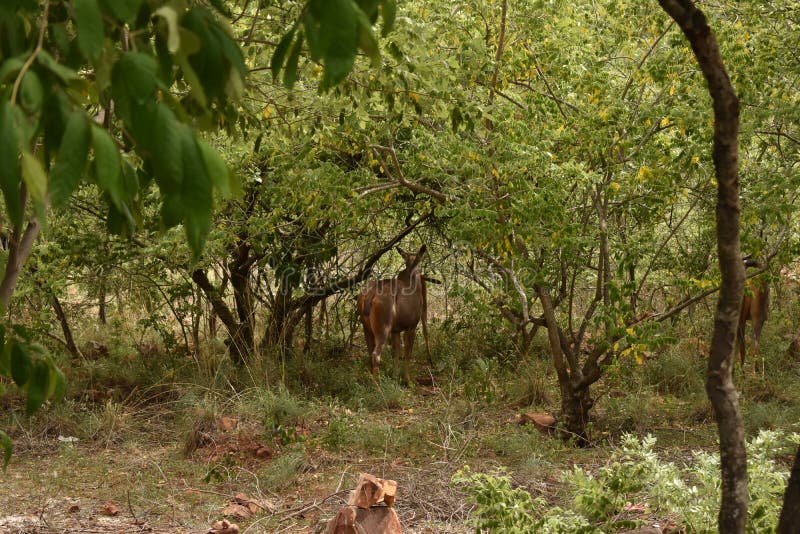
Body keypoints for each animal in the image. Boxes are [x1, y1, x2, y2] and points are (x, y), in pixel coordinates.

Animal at [357, 245, 432, 384]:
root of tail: (370, 295)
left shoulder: (396, 330)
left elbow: (397, 352)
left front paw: (395, 376)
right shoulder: (412, 325)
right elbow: (407, 352)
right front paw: (407, 380)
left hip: (366, 327)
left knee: (370, 352)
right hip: (383, 327)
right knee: (376, 355)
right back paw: (377, 385)